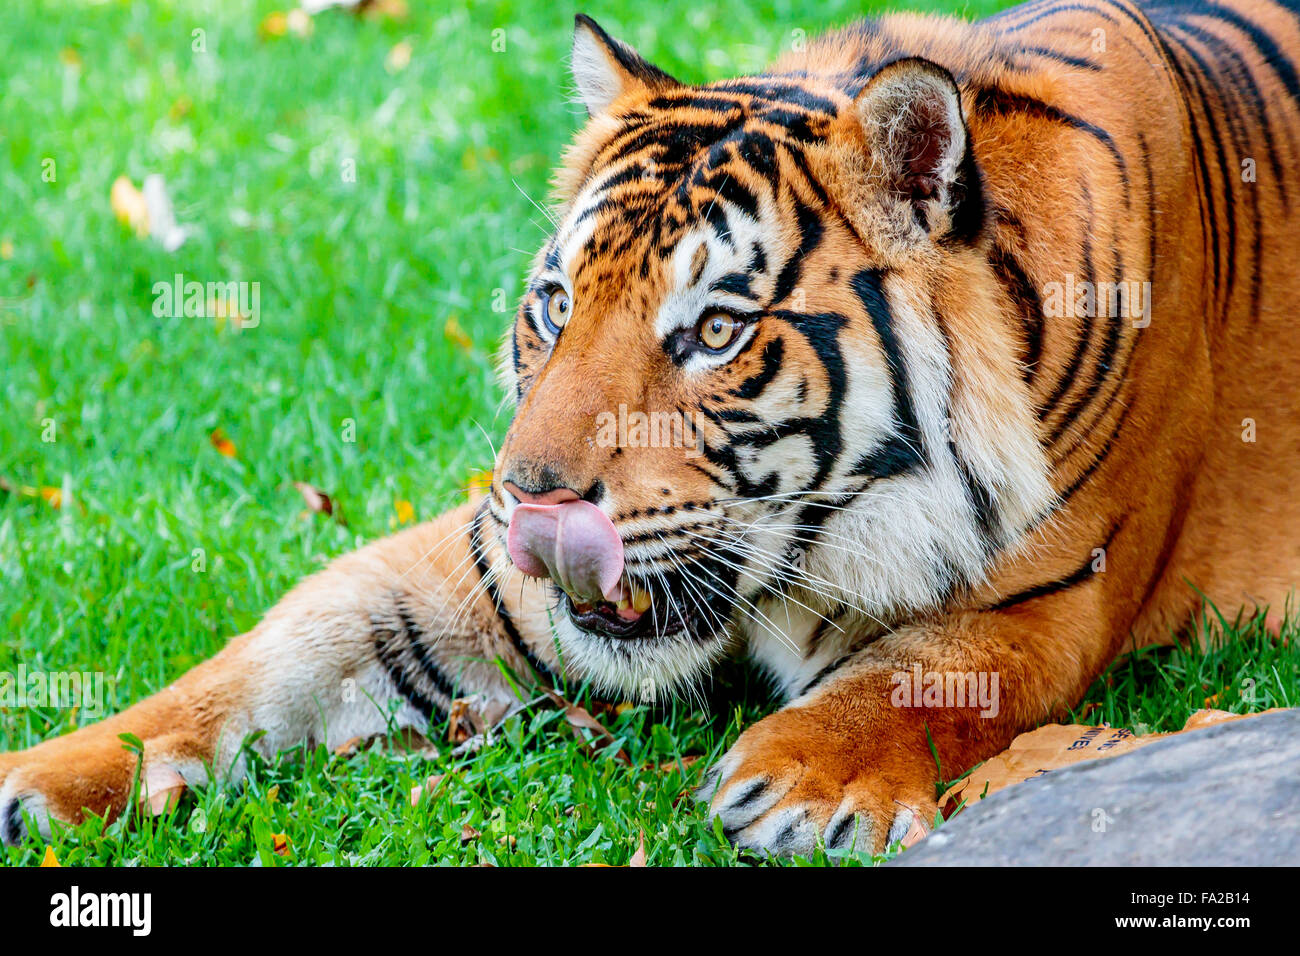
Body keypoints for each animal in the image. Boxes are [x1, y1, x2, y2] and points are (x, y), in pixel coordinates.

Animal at [3, 0, 1300, 858]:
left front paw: (793, 782)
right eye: (556, 304)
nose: (531, 497)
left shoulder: (1041, 599)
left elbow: (915, 673)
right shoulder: (476, 570)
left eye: (715, 328)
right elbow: (258, 659)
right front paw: (40, 775)